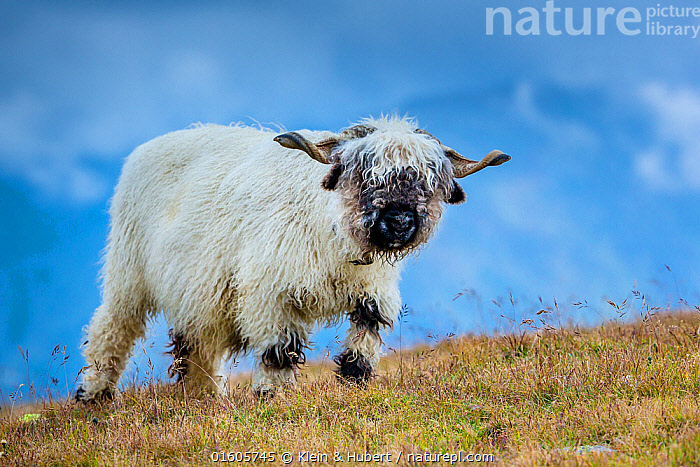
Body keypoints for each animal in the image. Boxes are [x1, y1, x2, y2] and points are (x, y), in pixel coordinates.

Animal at [75, 115, 509, 401]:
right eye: (365, 176)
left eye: (426, 181)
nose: (400, 221)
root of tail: (144, 150)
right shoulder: (269, 294)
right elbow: (279, 350)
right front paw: (273, 397)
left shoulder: (373, 290)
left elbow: (367, 332)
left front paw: (353, 379)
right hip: (128, 273)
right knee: (111, 329)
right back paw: (94, 396)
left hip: (198, 294)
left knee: (197, 345)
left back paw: (204, 397)